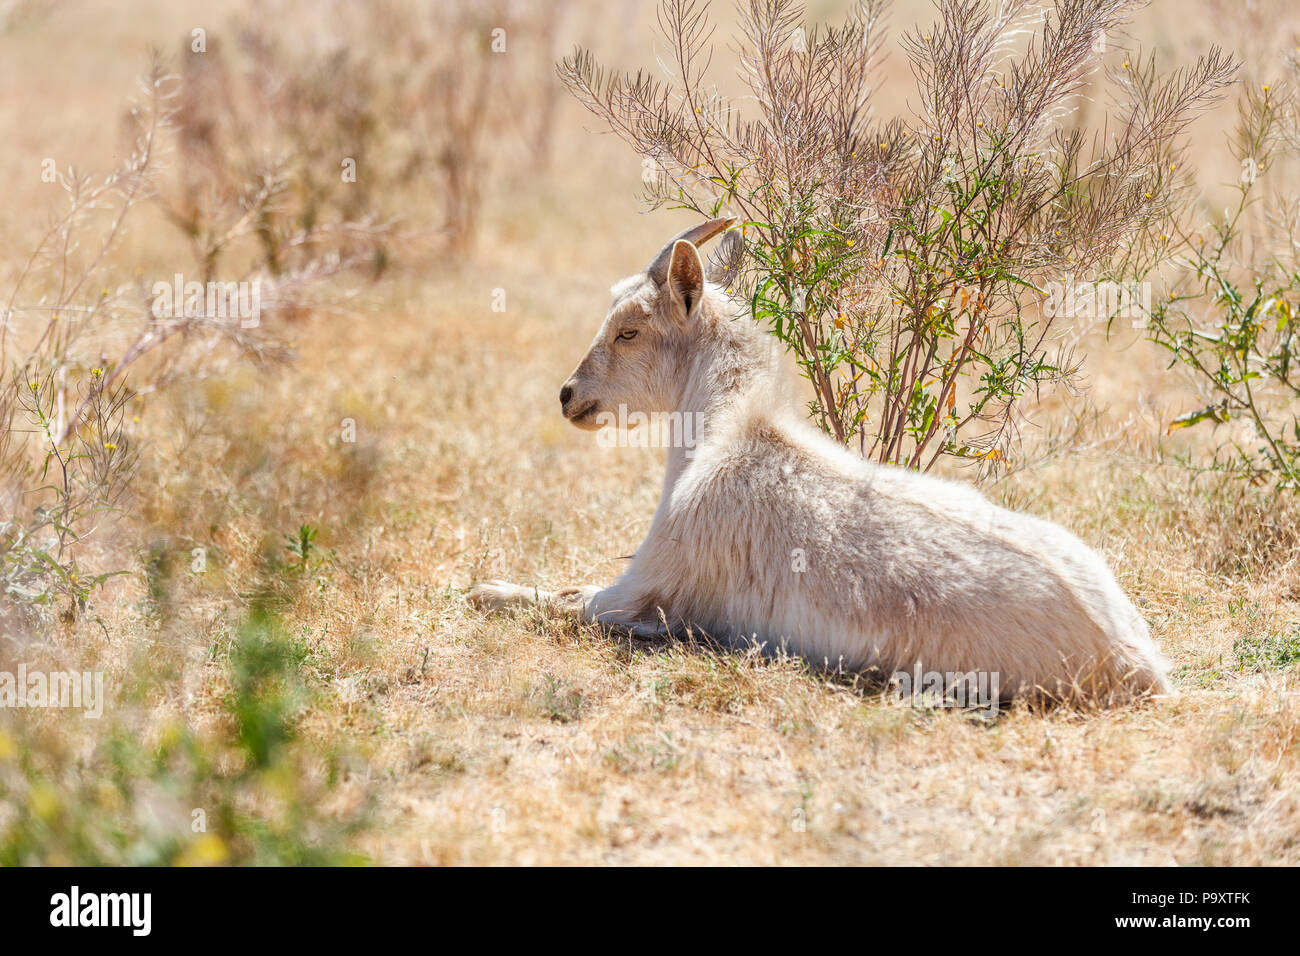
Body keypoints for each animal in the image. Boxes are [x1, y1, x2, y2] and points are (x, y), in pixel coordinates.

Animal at [470, 217, 1171, 706]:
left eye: (628, 331)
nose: (569, 396)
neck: (732, 434)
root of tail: (1137, 661)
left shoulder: (641, 588)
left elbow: (559, 598)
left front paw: (482, 589)